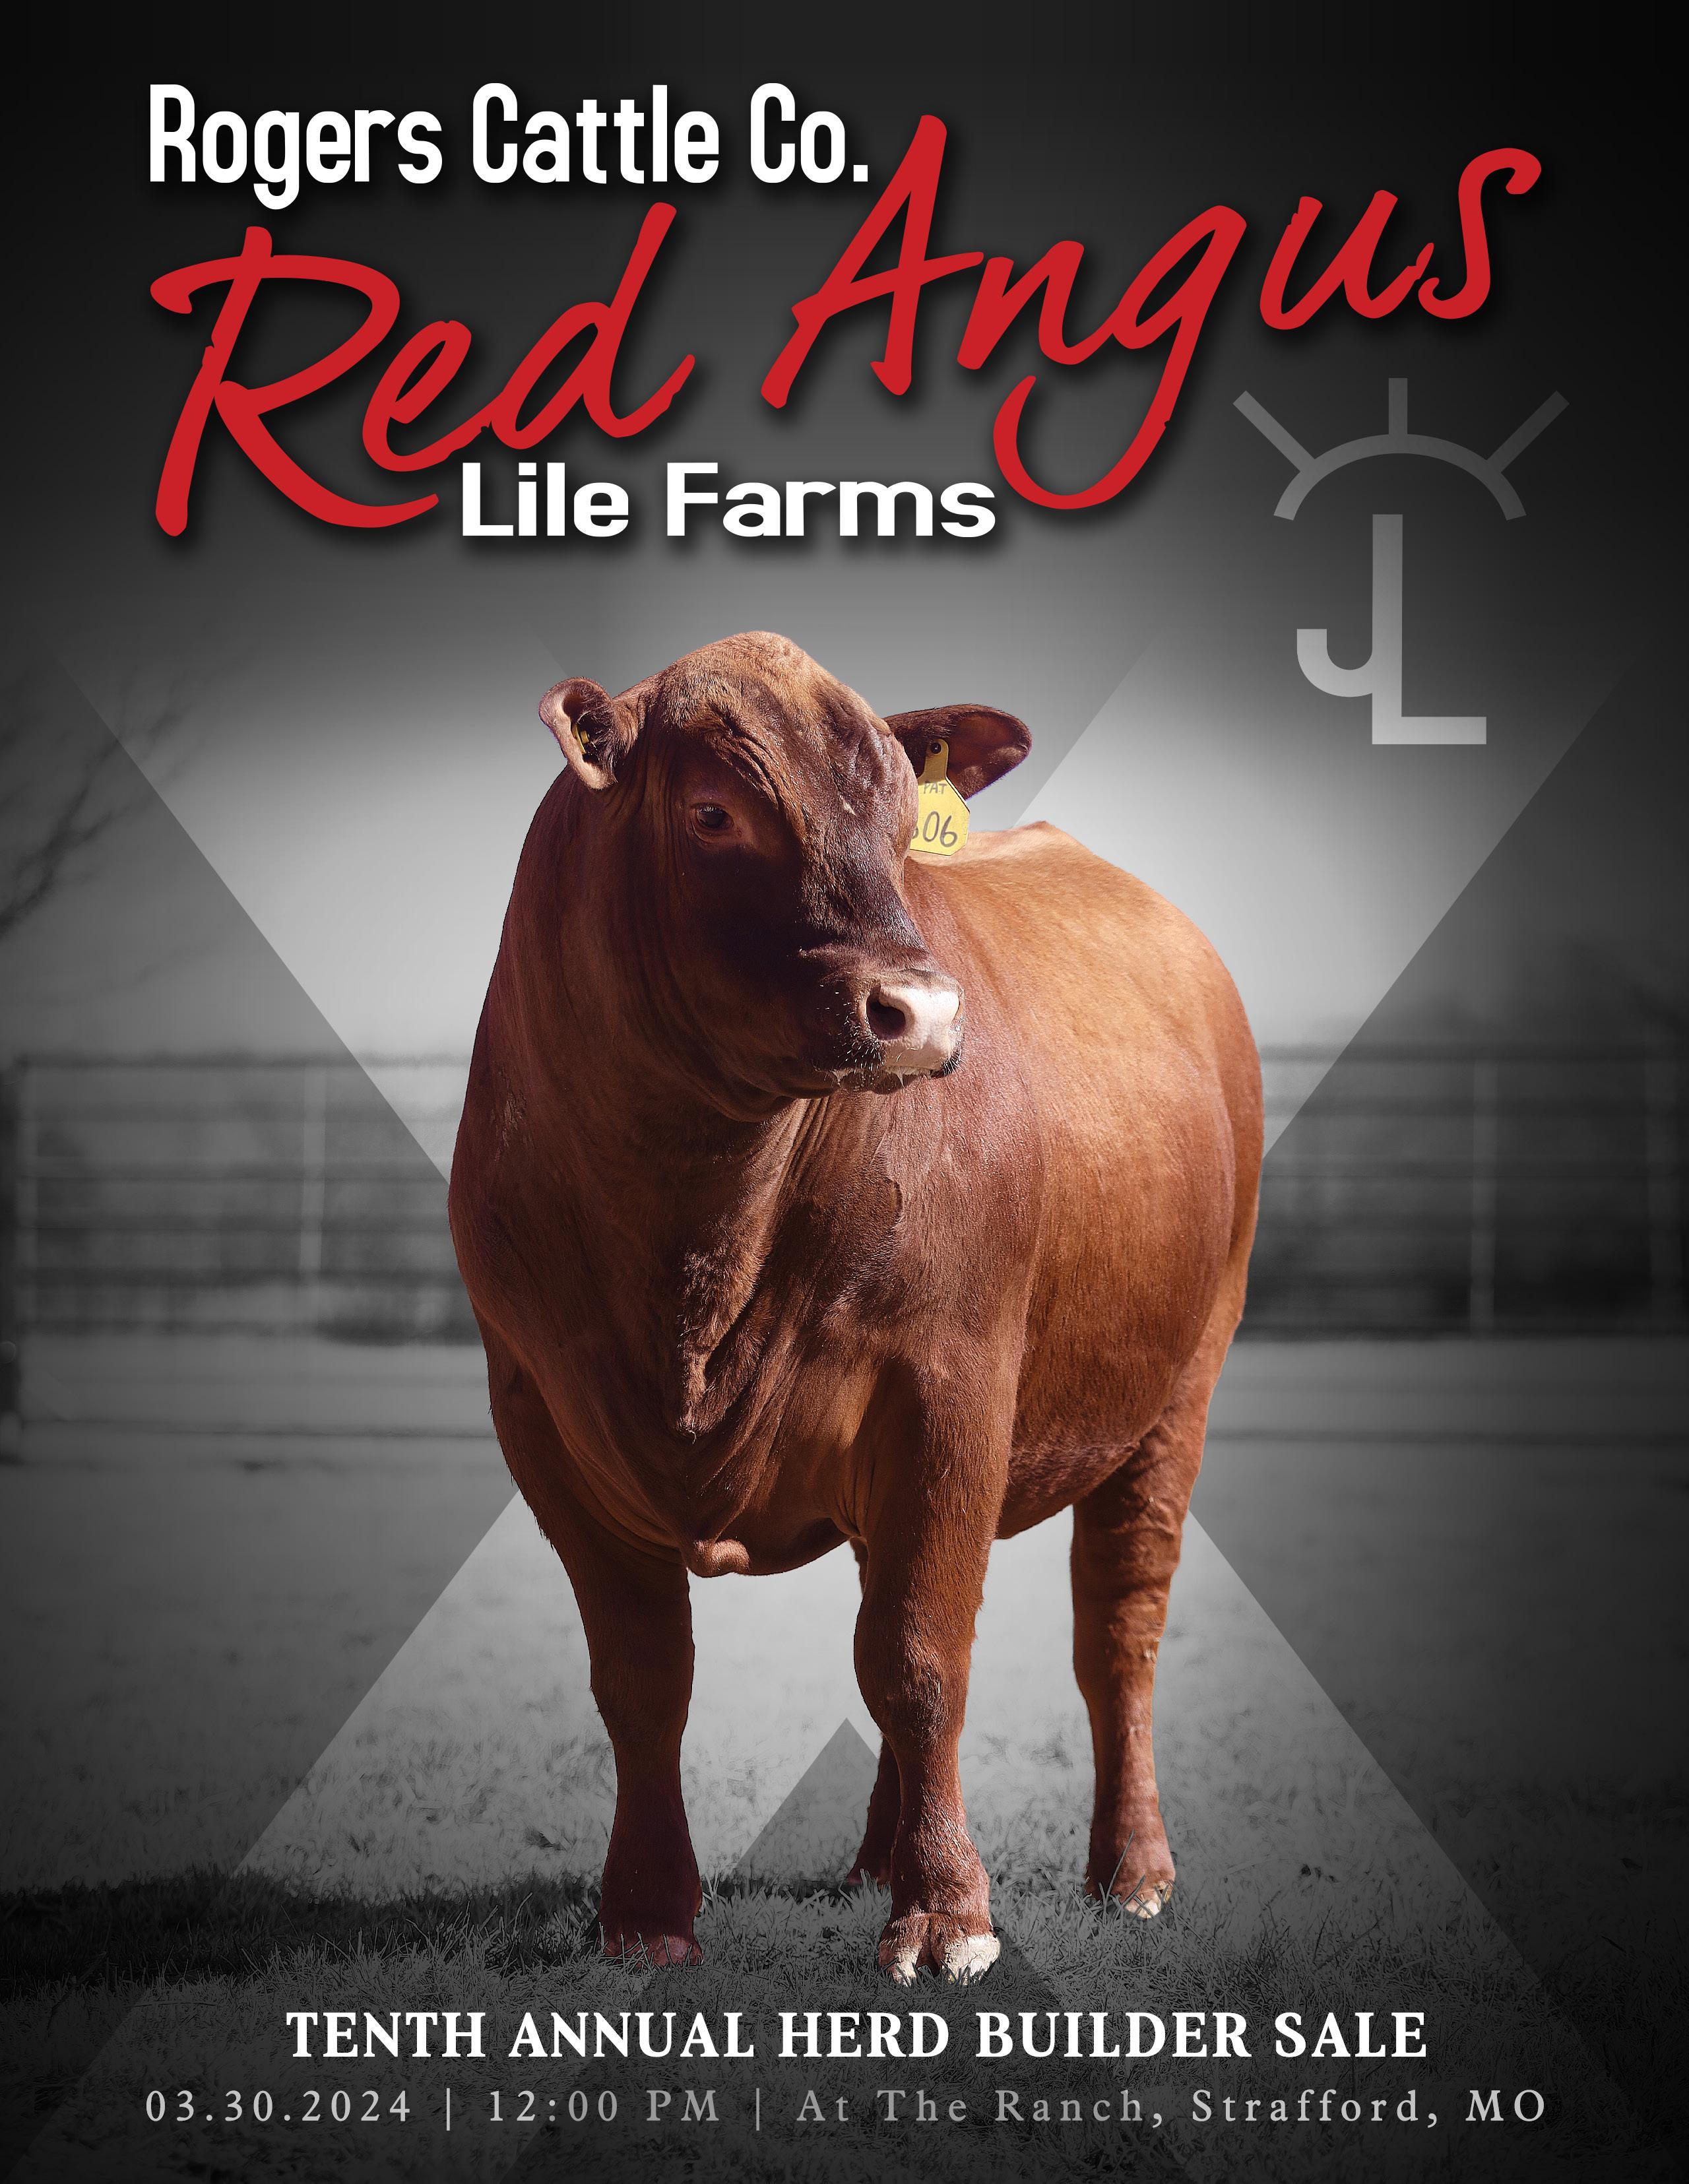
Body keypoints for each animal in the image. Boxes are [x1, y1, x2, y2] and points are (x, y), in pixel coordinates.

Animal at [448, 631, 1261, 1984]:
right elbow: (643, 1674)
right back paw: (878, 1855)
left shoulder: (951, 1385)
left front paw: (948, 1913)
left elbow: (921, 1656)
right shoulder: (537, 1415)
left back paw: (1132, 1868)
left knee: (1119, 1626)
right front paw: (649, 1912)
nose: (920, 1013)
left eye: (898, 831)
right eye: (713, 811)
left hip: (1181, 1384)